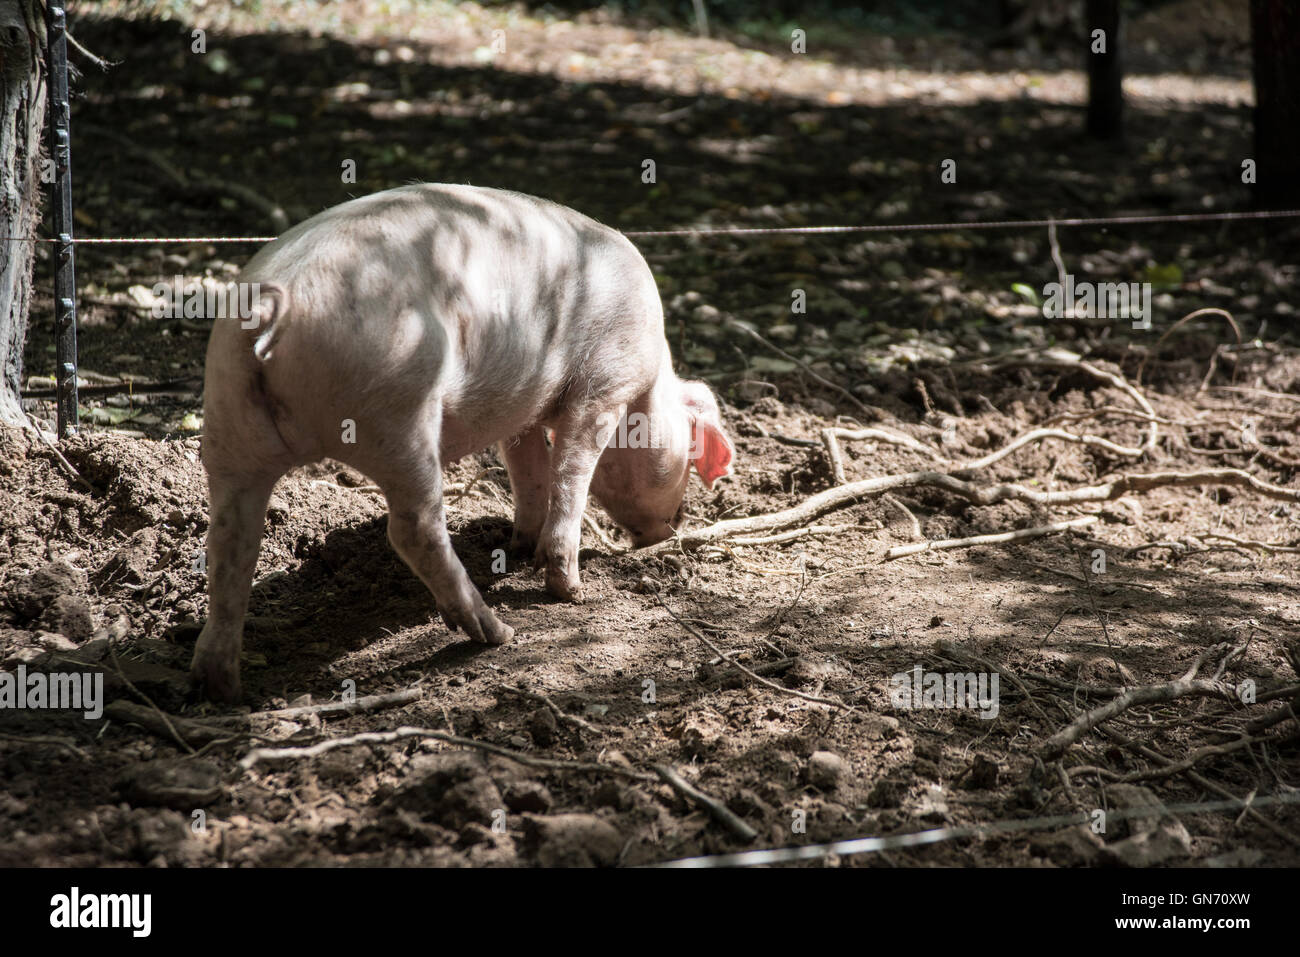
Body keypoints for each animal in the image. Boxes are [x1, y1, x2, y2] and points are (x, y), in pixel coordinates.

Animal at [190, 184, 735, 702]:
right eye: (690, 455)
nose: (673, 527)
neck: (652, 377)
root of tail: (273, 303)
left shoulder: (524, 403)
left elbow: (528, 468)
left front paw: (519, 548)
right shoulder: (605, 384)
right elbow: (572, 469)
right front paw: (569, 591)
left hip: (227, 417)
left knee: (231, 542)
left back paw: (221, 685)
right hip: (398, 409)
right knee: (412, 528)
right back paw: (497, 633)